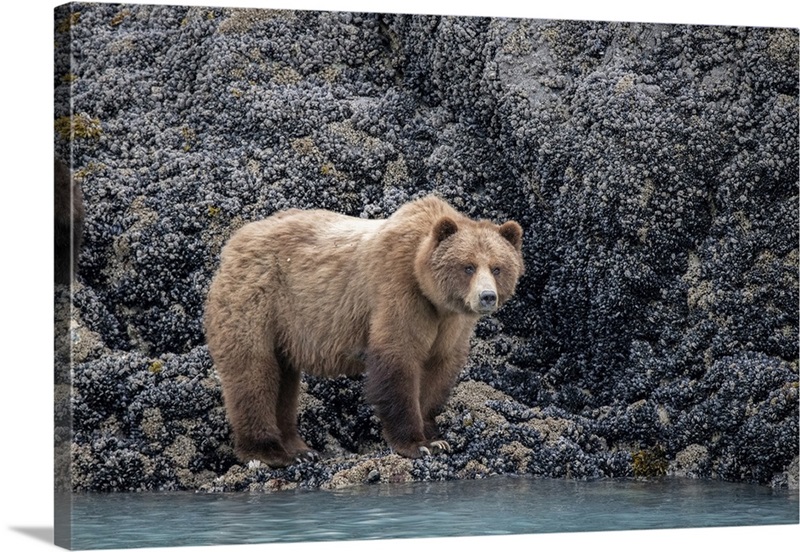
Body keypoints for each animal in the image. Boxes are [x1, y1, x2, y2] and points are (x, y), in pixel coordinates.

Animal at [204, 195, 524, 467]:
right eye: (468, 266)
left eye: (497, 267)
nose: (487, 297)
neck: (432, 294)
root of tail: (233, 243)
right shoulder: (399, 290)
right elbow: (398, 358)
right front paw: (417, 444)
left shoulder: (450, 324)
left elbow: (439, 370)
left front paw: (436, 437)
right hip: (257, 300)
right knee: (254, 372)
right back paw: (270, 451)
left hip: (285, 328)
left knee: (284, 379)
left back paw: (300, 449)